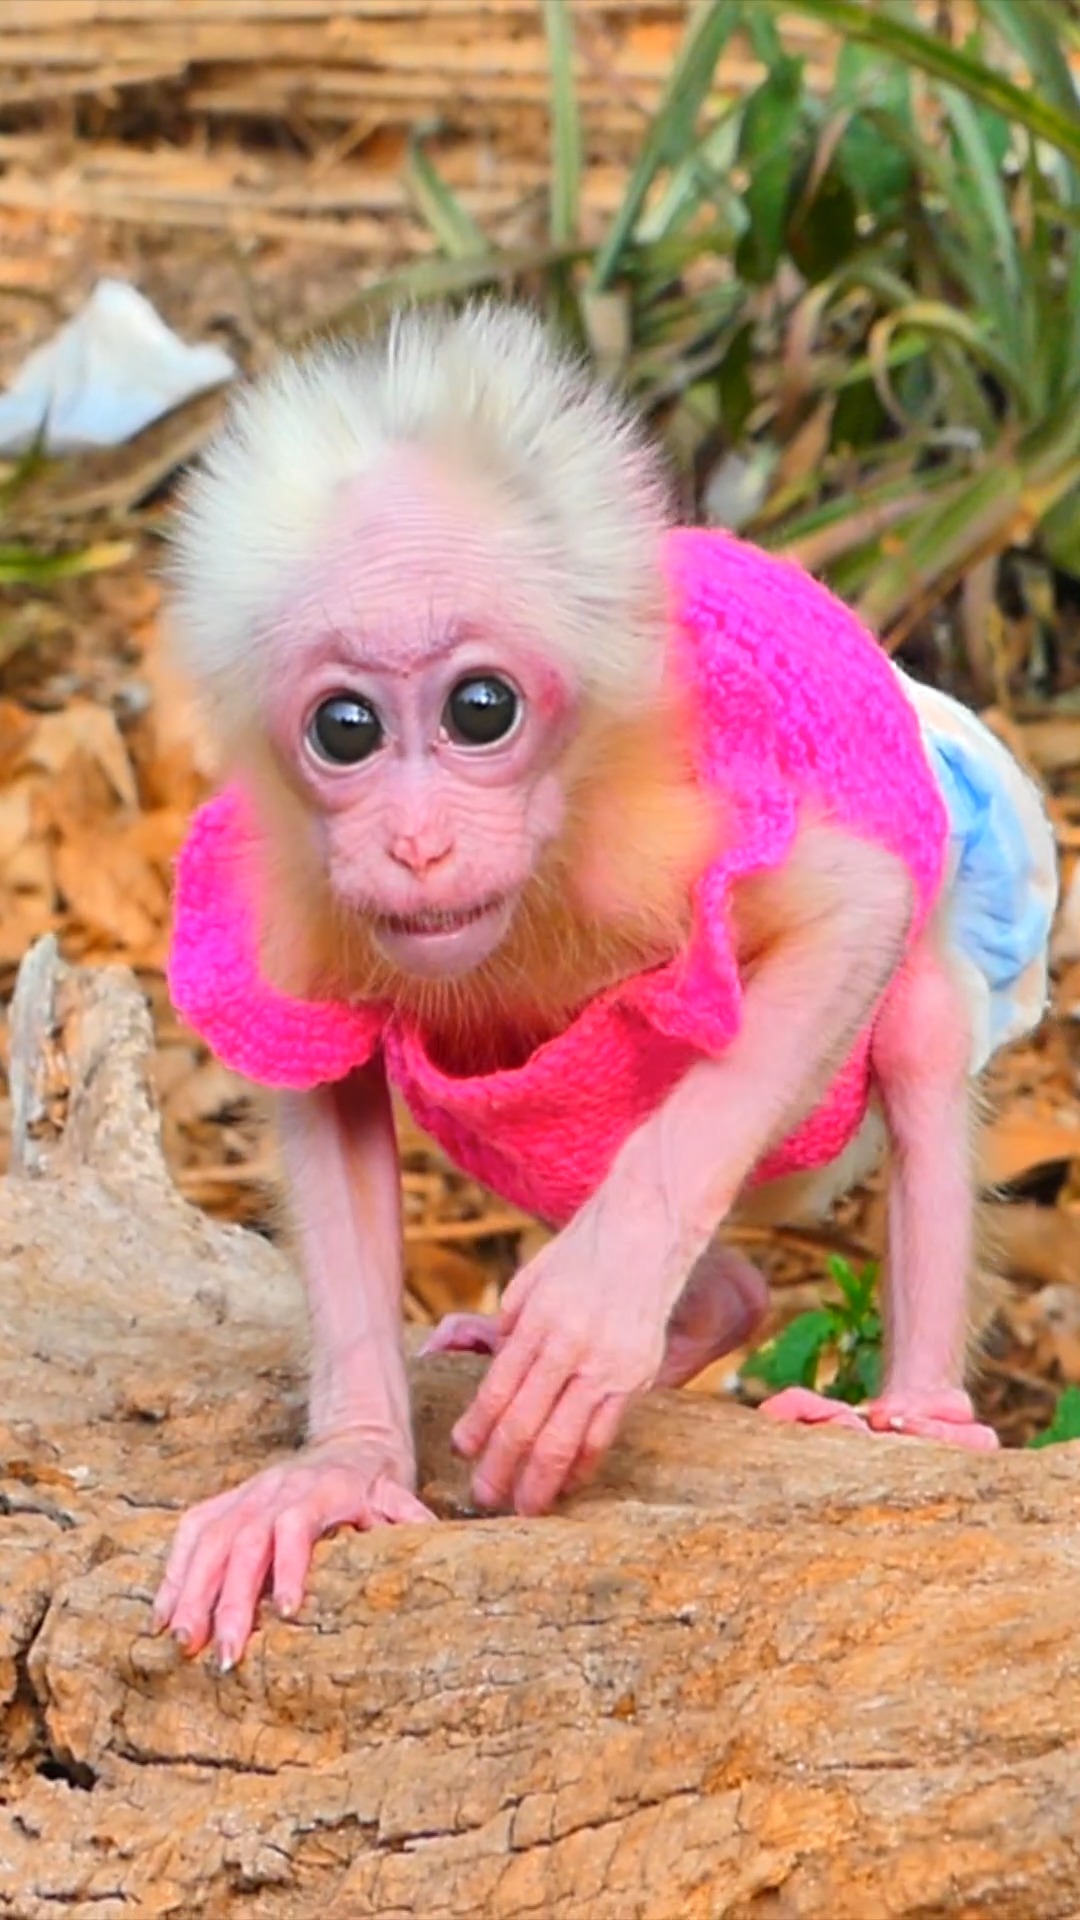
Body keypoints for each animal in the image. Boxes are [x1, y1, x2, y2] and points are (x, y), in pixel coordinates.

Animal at [153, 302, 1057, 1670]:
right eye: (345, 729)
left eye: (480, 709)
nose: (417, 844)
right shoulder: (288, 904)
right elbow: (329, 1102)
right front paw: (344, 1466)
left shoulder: (655, 841)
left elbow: (852, 911)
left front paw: (599, 1301)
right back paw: (714, 1309)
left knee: (914, 1020)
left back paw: (911, 1409)